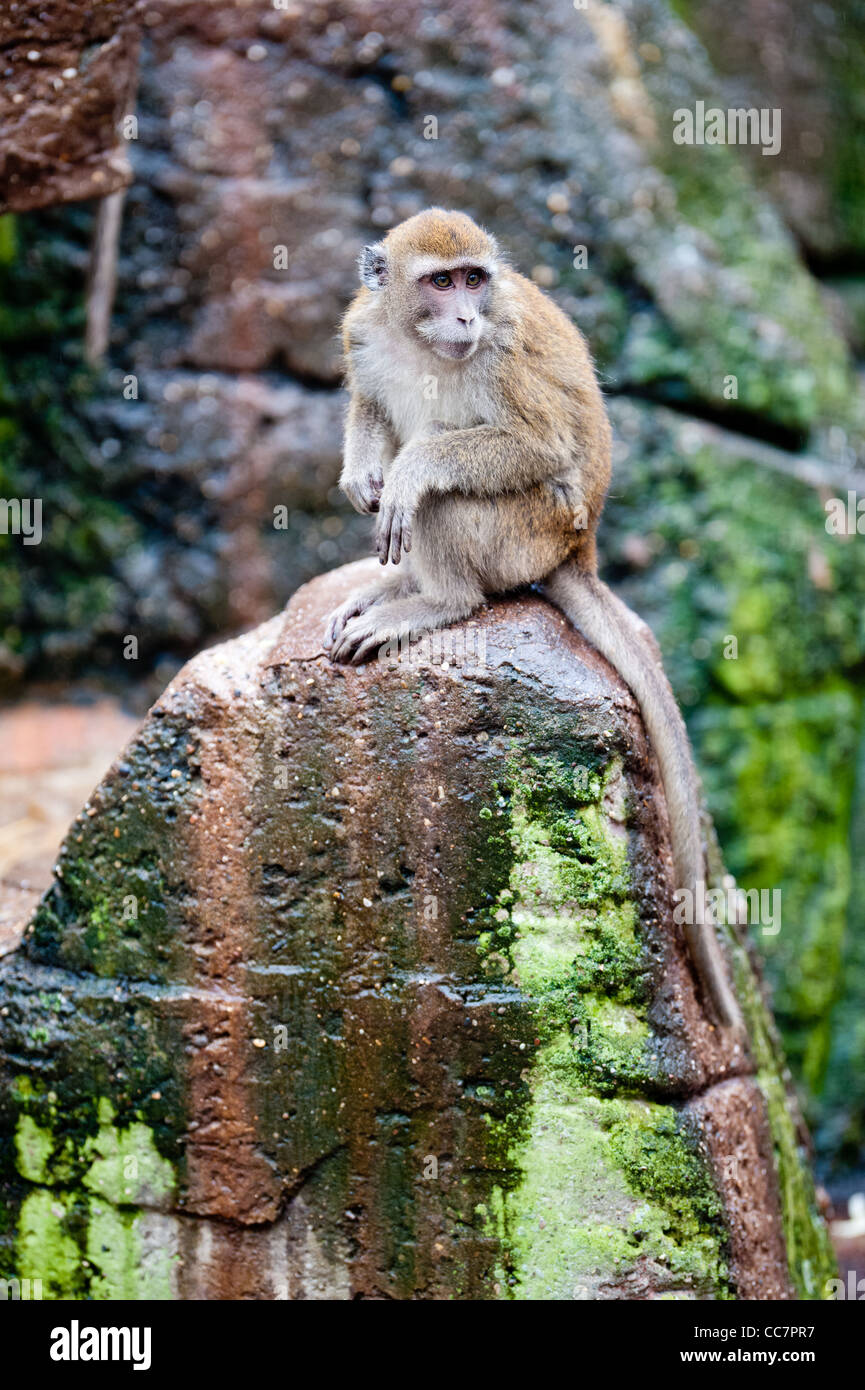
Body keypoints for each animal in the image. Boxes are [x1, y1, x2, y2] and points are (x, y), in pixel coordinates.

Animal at [323, 208, 744, 1036]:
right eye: (440, 282)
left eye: (473, 281)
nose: (465, 317)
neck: (414, 337)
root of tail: (580, 547)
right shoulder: (362, 327)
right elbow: (371, 407)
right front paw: (360, 472)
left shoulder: (498, 355)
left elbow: (531, 445)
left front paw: (410, 474)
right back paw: (398, 583)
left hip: (527, 531)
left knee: (445, 489)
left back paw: (438, 597)